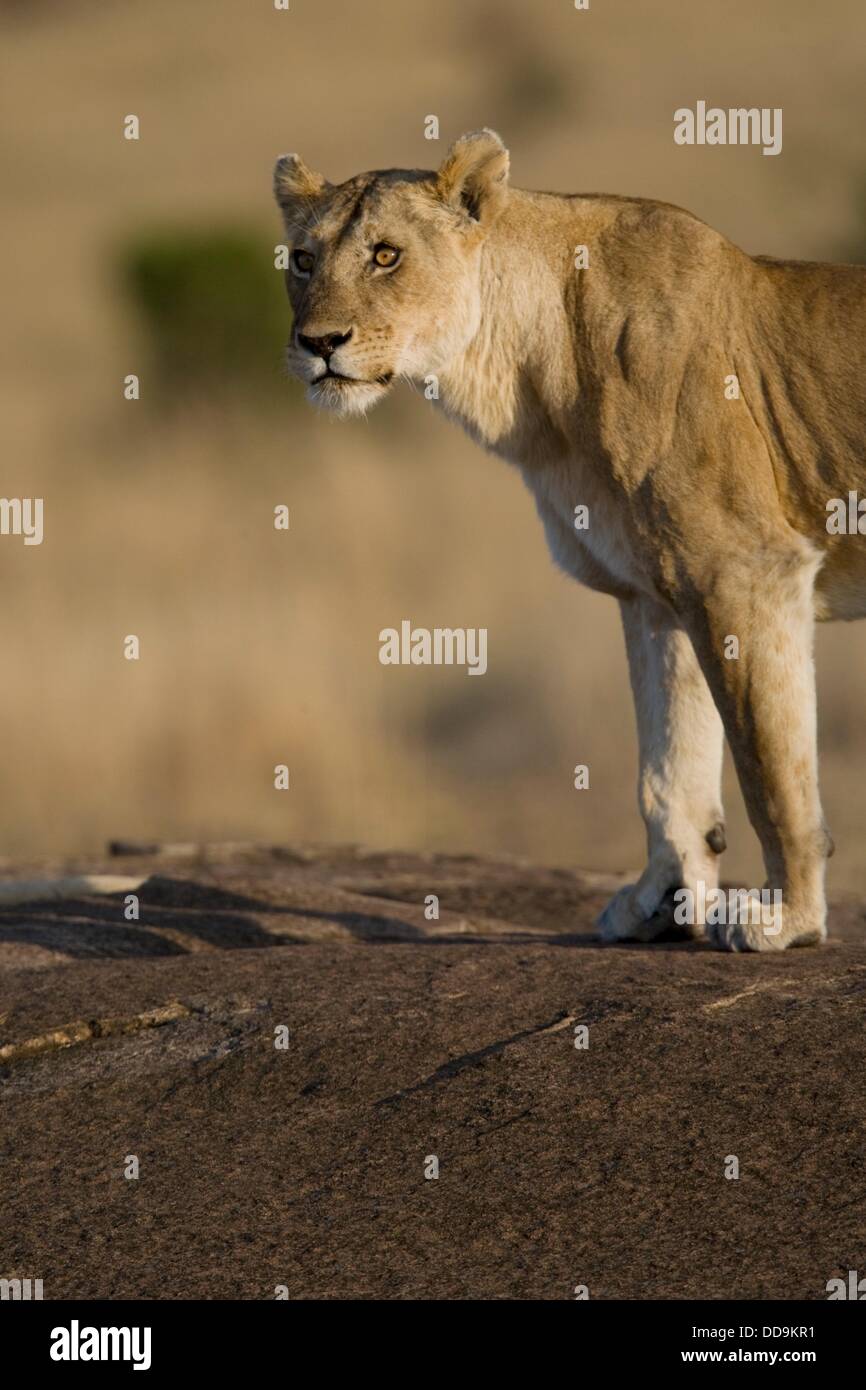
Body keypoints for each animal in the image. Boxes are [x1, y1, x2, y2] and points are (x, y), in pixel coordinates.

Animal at [273, 128, 866, 952]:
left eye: (386, 255)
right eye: (302, 259)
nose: (318, 342)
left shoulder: (744, 569)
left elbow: (769, 770)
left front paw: (789, 920)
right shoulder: (658, 593)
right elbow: (667, 773)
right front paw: (660, 904)